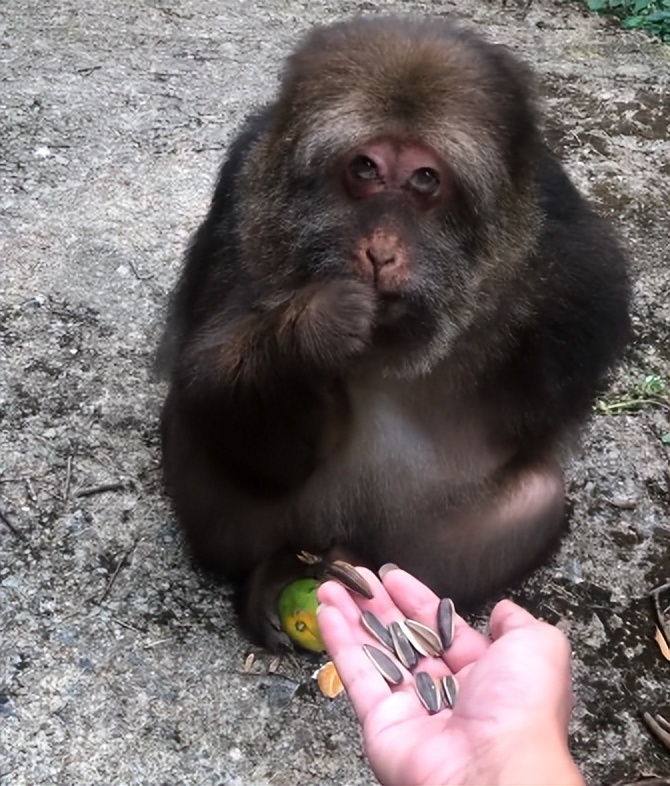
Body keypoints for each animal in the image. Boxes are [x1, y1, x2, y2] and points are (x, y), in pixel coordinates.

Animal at [158, 16, 631, 650]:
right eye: (365, 169)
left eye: (425, 179)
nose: (380, 253)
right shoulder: (241, 199)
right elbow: (207, 378)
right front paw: (310, 334)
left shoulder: (559, 231)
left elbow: (548, 380)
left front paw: (457, 302)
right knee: (192, 429)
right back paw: (270, 570)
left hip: (416, 540)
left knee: (532, 501)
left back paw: (365, 567)